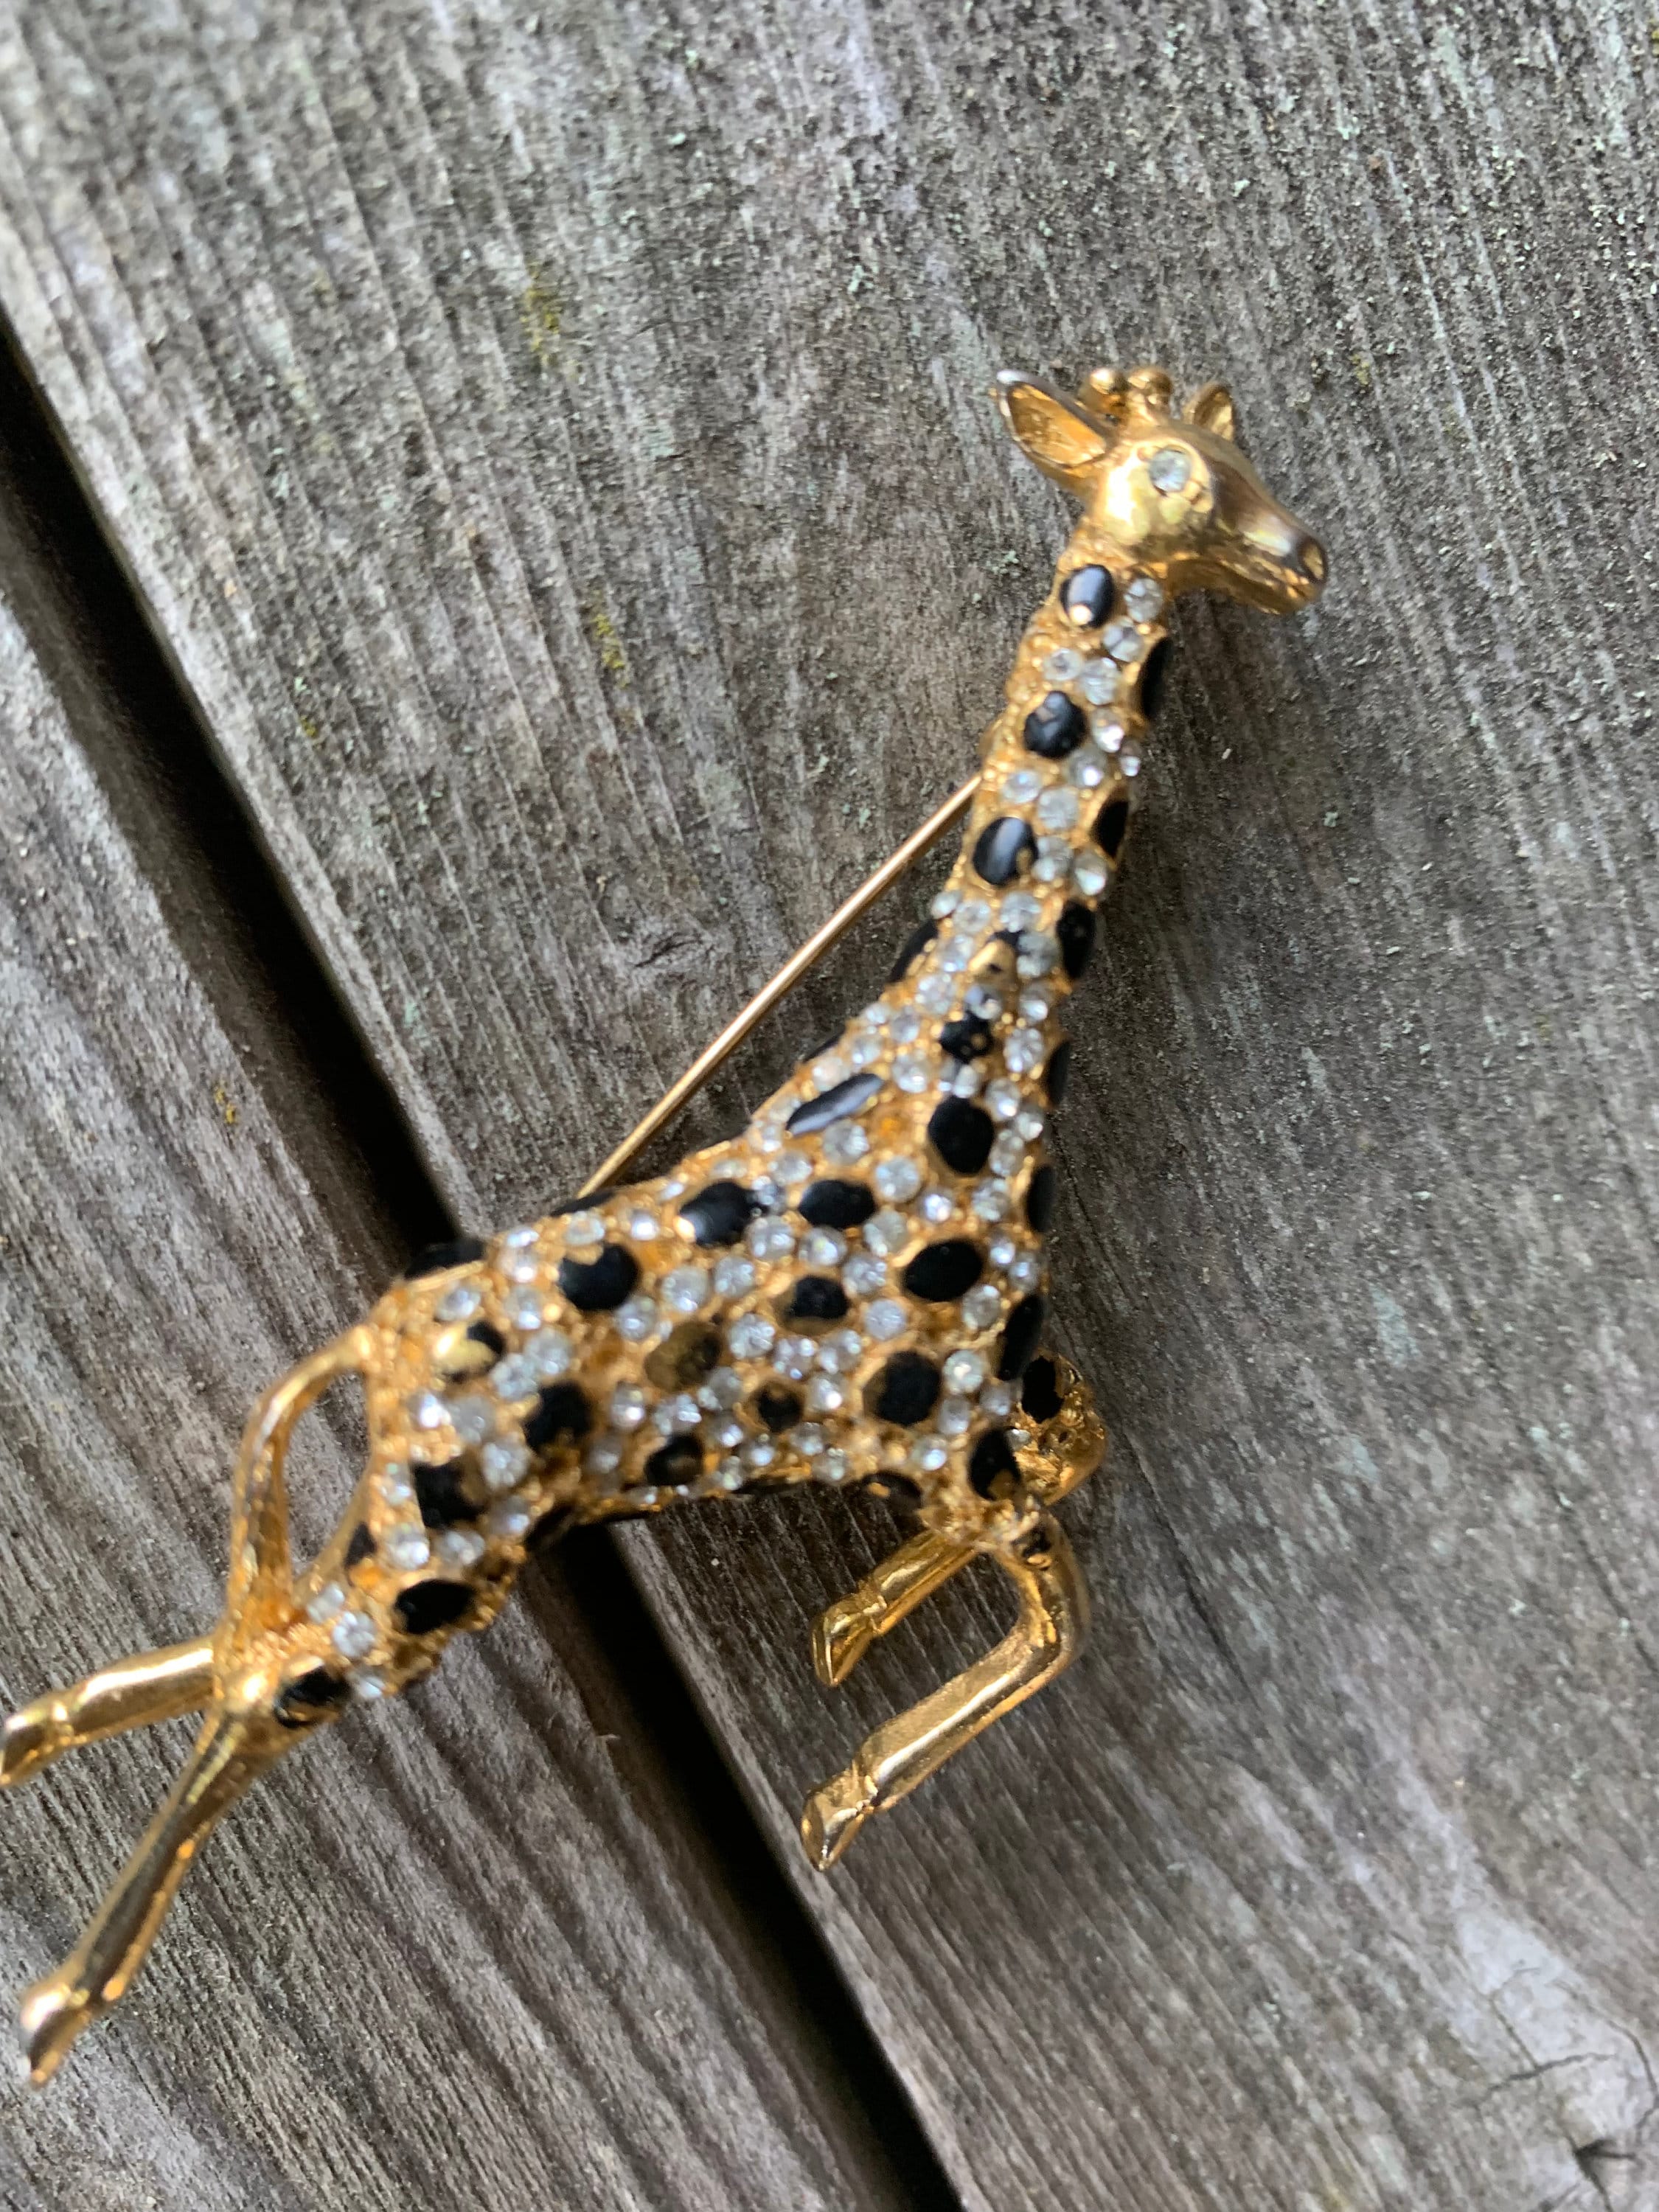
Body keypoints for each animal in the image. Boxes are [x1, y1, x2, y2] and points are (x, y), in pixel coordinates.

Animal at [3, 362, 1325, 2082]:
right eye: (1177, 480)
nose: (1304, 563)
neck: (975, 1046)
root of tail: (382, 1341)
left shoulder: (993, 1402)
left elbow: (1080, 1465)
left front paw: (850, 1624)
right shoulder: (962, 1431)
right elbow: (1062, 1613)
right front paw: (842, 1789)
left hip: (405, 1540)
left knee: (230, 1657)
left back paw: (25, 1746)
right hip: (446, 1560)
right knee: (269, 1685)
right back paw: (61, 2002)